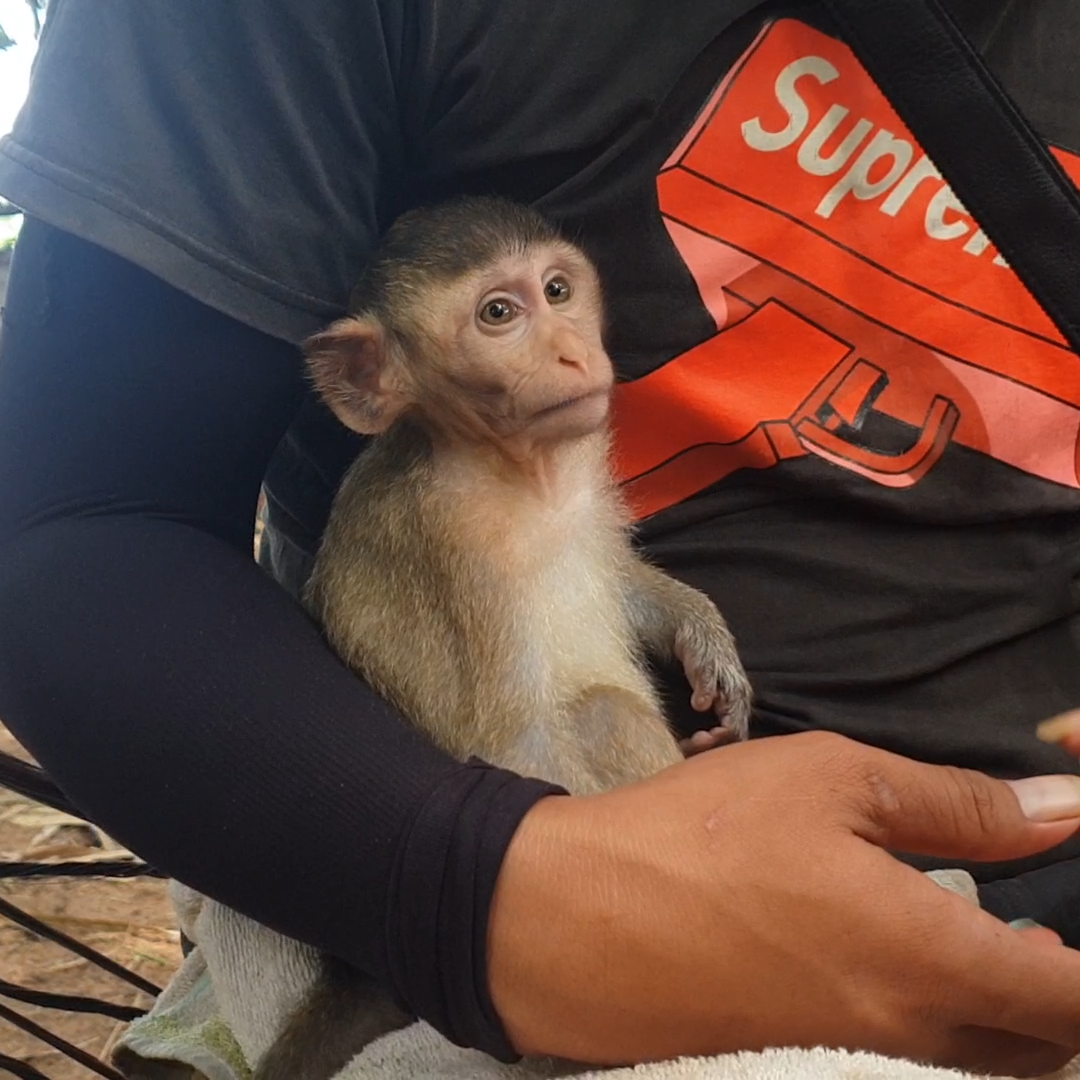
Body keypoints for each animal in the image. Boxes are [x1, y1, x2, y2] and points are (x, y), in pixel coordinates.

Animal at [248, 196, 754, 1080]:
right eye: (497, 315)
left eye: (556, 290)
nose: (571, 351)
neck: (515, 472)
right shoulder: (454, 548)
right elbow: (509, 746)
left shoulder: (586, 479)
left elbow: (620, 582)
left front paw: (706, 644)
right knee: (602, 716)